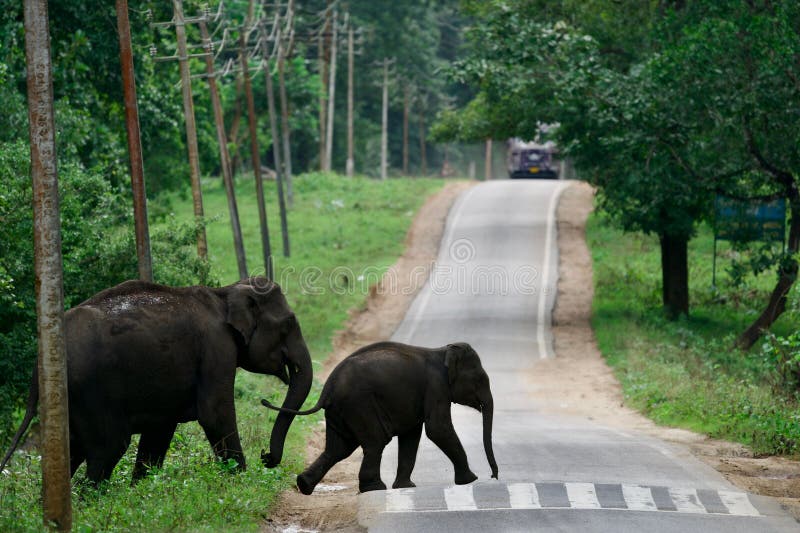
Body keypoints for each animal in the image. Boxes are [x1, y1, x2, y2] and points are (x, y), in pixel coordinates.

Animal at [0, 276, 312, 486]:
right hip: (90, 391)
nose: (265, 456)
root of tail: (38, 364)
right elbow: (215, 414)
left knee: (72, 449)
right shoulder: (216, 348)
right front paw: (241, 482)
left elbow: (159, 431)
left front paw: (141, 489)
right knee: (108, 447)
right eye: (288, 324)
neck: (224, 292)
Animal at [261, 341, 498, 494]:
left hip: (341, 412)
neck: (444, 351)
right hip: (359, 405)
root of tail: (327, 389)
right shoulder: (436, 386)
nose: (494, 476)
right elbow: (437, 429)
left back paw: (304, 485)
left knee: (338, 449)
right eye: (479, 379)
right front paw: (470, 480)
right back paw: (374, 488)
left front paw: (405, 487)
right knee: (374, 443)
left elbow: (412, 435)